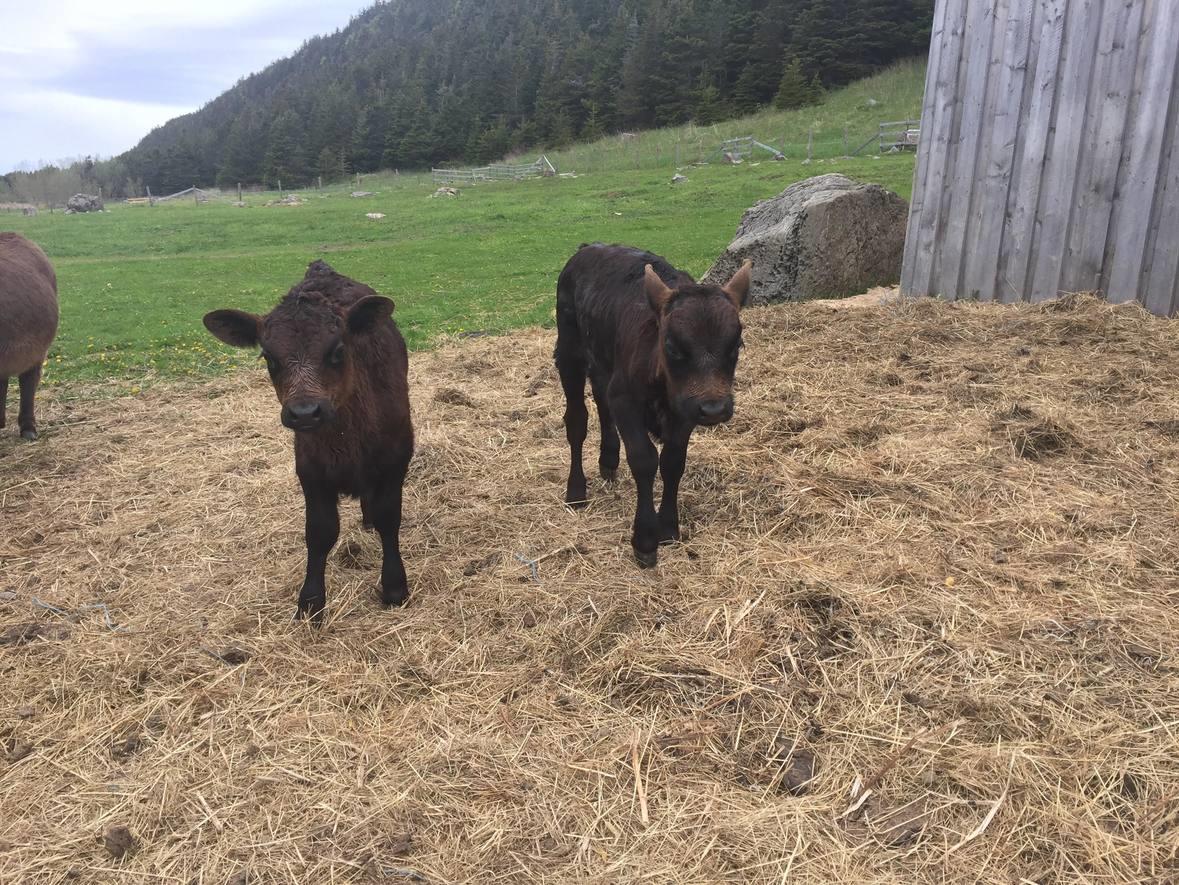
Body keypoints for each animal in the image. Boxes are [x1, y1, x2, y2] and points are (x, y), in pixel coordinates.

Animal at [203, 260, 414, 622]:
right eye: (268, 358)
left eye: (338, 350)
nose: (304, 413)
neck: (347, 441)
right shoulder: (310, 469)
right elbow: (319, 531)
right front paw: (311, 600)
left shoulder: (395, 460)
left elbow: (389, 519)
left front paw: (394, 587)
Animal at [555, 243, 751, 567]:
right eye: (671, 345)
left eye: (737, 345)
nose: (714, 409)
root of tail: (588, 248)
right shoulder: (626, 400)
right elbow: (645, 460)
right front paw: (645, 540)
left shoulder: (685, 407)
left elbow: (673, 461)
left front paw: (669, 527)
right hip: (569, 351)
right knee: (577, 420)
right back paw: (576, 490)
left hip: (604, 362)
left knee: (600, 399)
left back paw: (608, 460)